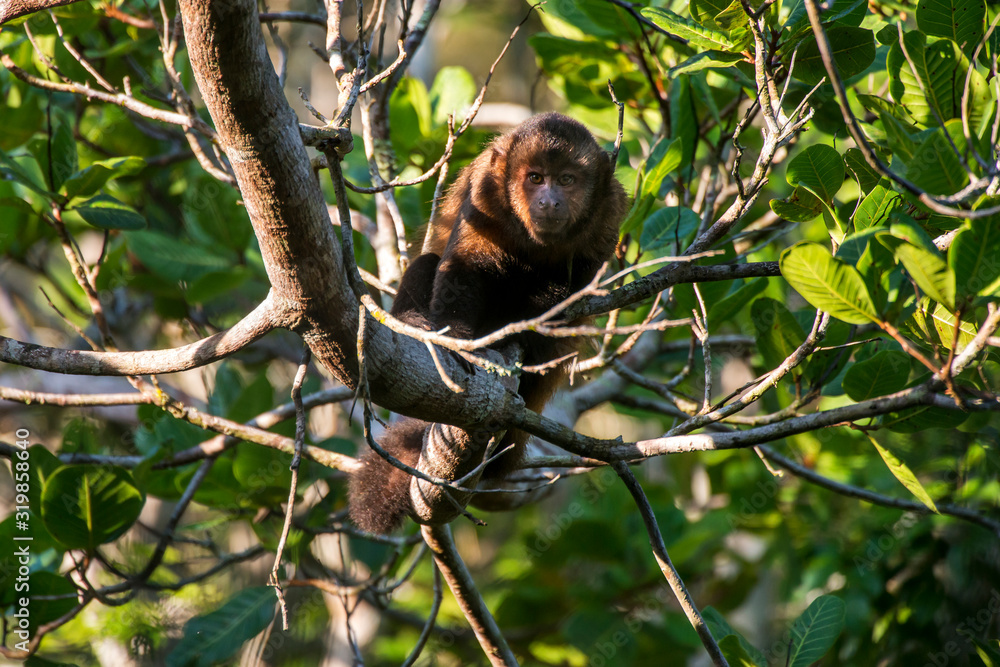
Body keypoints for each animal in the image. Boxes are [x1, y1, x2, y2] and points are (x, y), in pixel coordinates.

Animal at [349, 112, 628, 535]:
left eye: (567, 179)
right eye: (535, 178)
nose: (549, 200)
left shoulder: (608, 213)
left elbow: (571, 291)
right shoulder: (485, 194)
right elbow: (464, 267)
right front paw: (460, 342)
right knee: (428, 263)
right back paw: (417, 324)